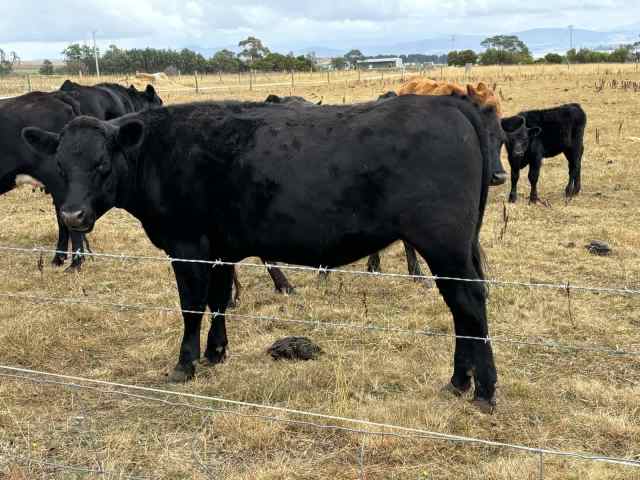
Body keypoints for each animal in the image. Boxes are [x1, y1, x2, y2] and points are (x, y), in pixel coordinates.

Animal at [24, 93, 504, 411]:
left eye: (102, 164)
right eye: (61, 166)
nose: (73, 215)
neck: (160, 153)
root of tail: (446, 103)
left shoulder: (187, 246)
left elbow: (191, 307)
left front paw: (185, 364)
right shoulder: (220, 248)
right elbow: (219, 301)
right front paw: (216, 354)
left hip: (444, 244)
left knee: (469, 304)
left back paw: (482, 391)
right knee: (463, 308)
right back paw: (460, 383)